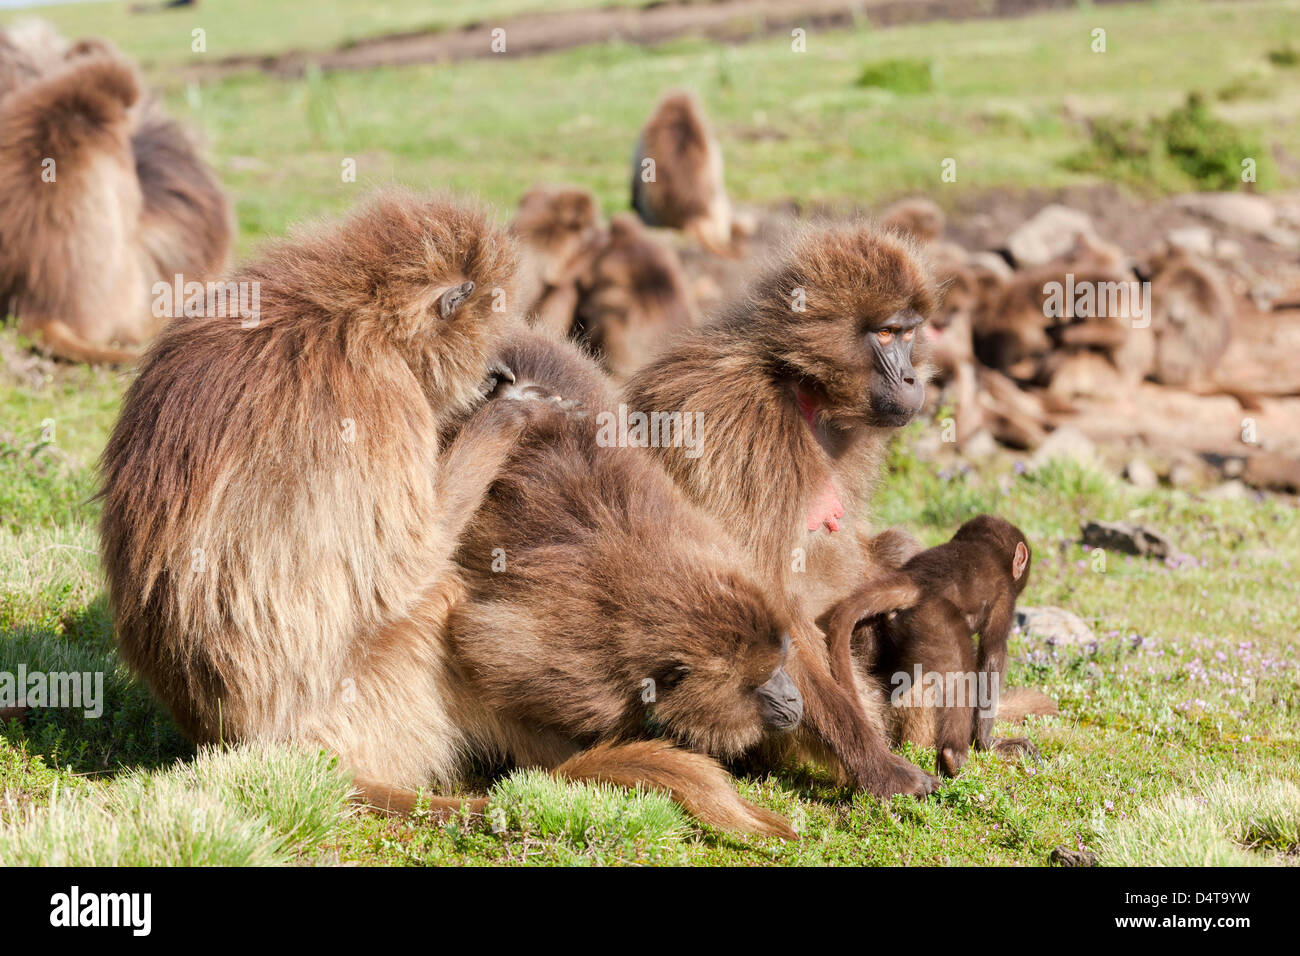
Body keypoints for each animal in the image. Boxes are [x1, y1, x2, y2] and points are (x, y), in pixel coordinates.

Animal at [99, 192, 551, 808]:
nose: (493, 372)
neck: (356, 309)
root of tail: (245, 738)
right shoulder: (383, 401)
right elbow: (401, 567)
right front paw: (509, 413)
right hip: (367, 700)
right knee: (438, 593)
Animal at [624, 222, 946, 797]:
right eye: (886, 335)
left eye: (909, 334)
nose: (914, 381)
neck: (801, 388)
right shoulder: (743, 432)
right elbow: (767, 604)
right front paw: (881, 766)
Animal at [826, 515, 1055, 777]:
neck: (989, 549)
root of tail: (915, 583)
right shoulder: (1005, 598)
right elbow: (992, 656)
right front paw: (986, 743)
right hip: (936, 621)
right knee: (960, 674)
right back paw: (952, 757)